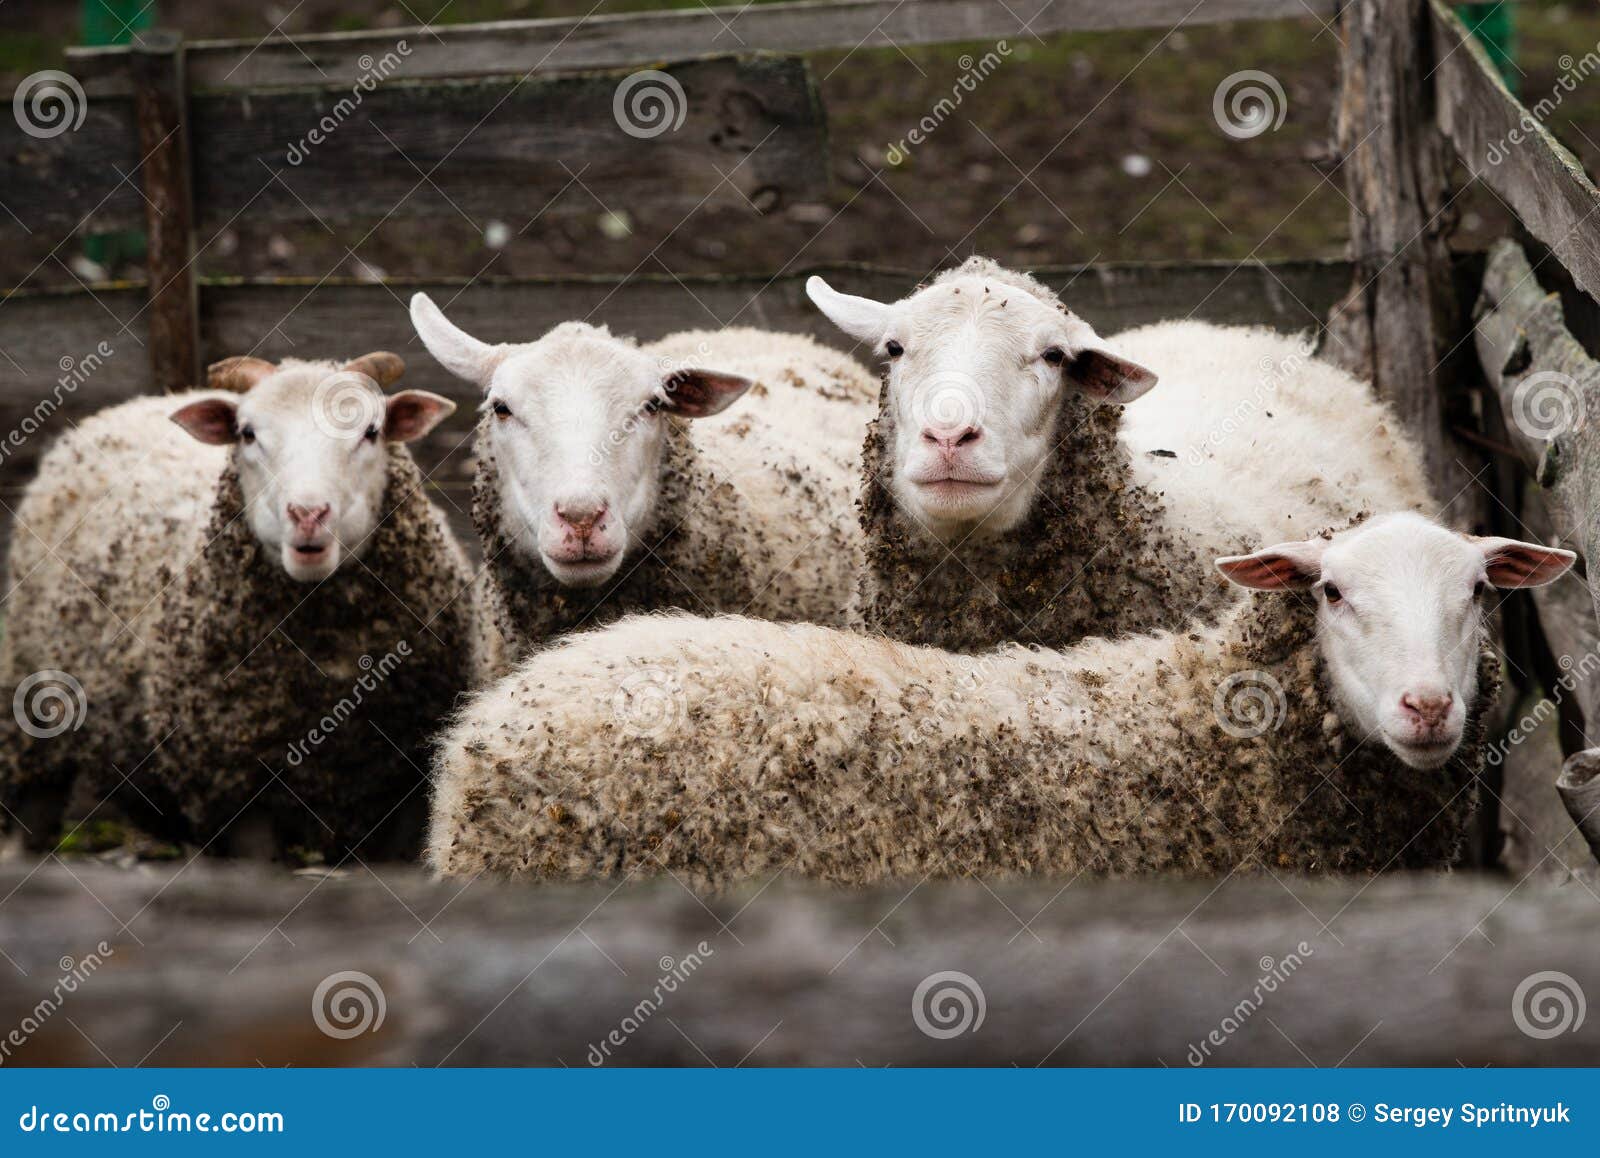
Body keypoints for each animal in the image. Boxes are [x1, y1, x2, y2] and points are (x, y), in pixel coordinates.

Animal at [0, 353, 488, 860]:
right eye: (247, 434)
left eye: (371, 431)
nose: (308, 515)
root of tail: (133, 405)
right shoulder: (236, 791)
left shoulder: (402, 794)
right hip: (31, 711)